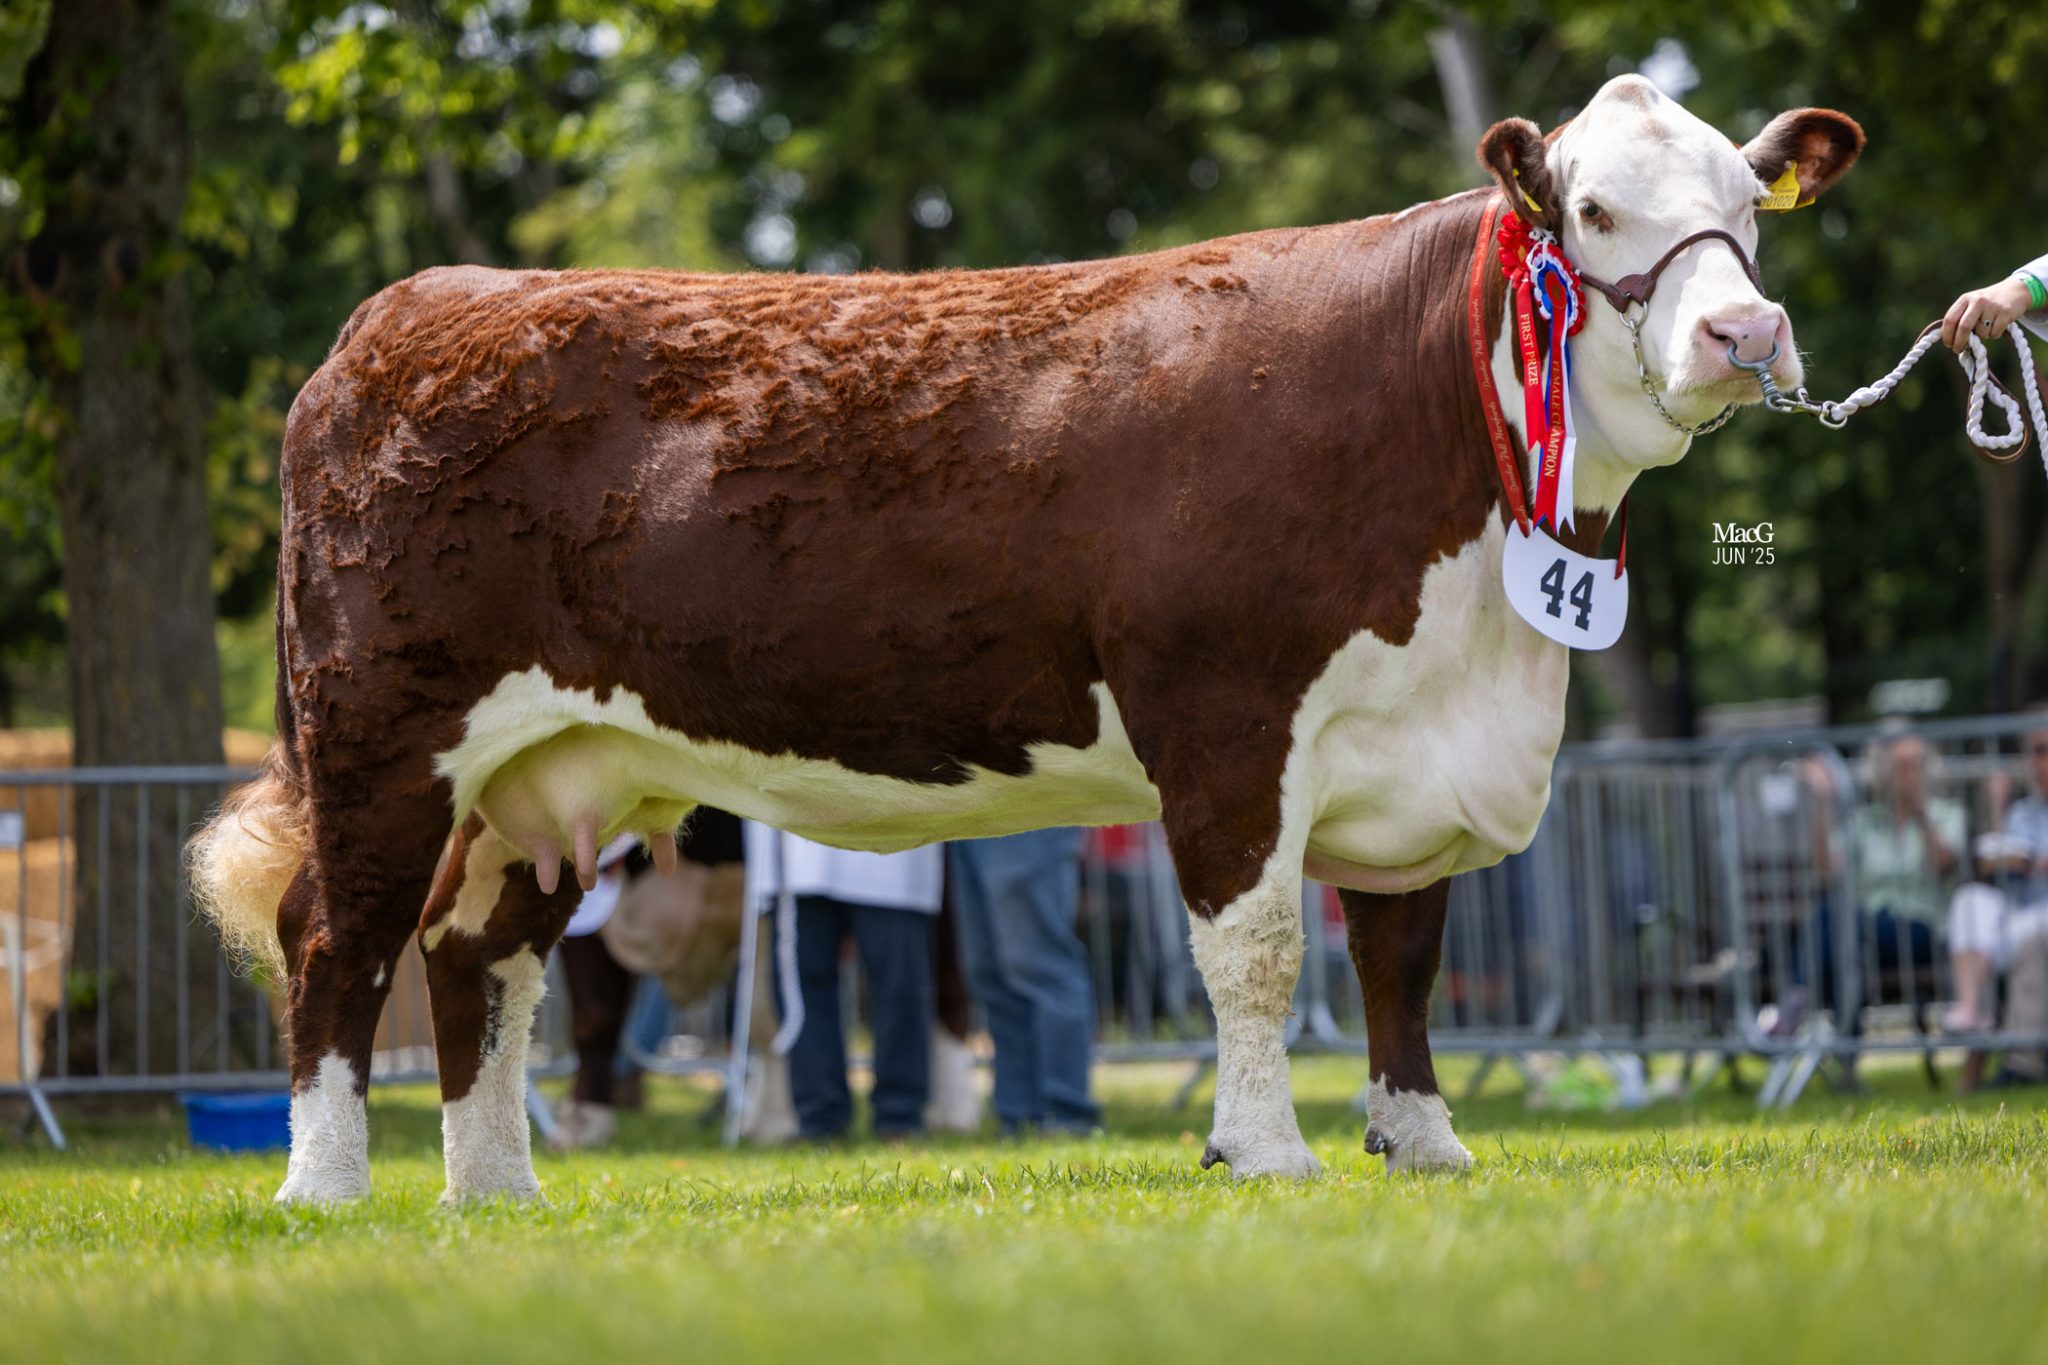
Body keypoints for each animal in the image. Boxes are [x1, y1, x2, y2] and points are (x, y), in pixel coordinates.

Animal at [190, 75, 1861, 1203]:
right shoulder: (1224, 716)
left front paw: (1425, 1142)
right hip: (380, 732)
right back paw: (327, 1183)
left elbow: (1402, 955)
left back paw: (494, 1189)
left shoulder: (1411, 747)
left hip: (548, 771)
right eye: (1593, 213)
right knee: (336, 939)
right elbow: (1255, 953)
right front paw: (1266, 1151)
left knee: (480, 957)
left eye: (1745, 206)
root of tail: (407, 314)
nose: (1746, 336)